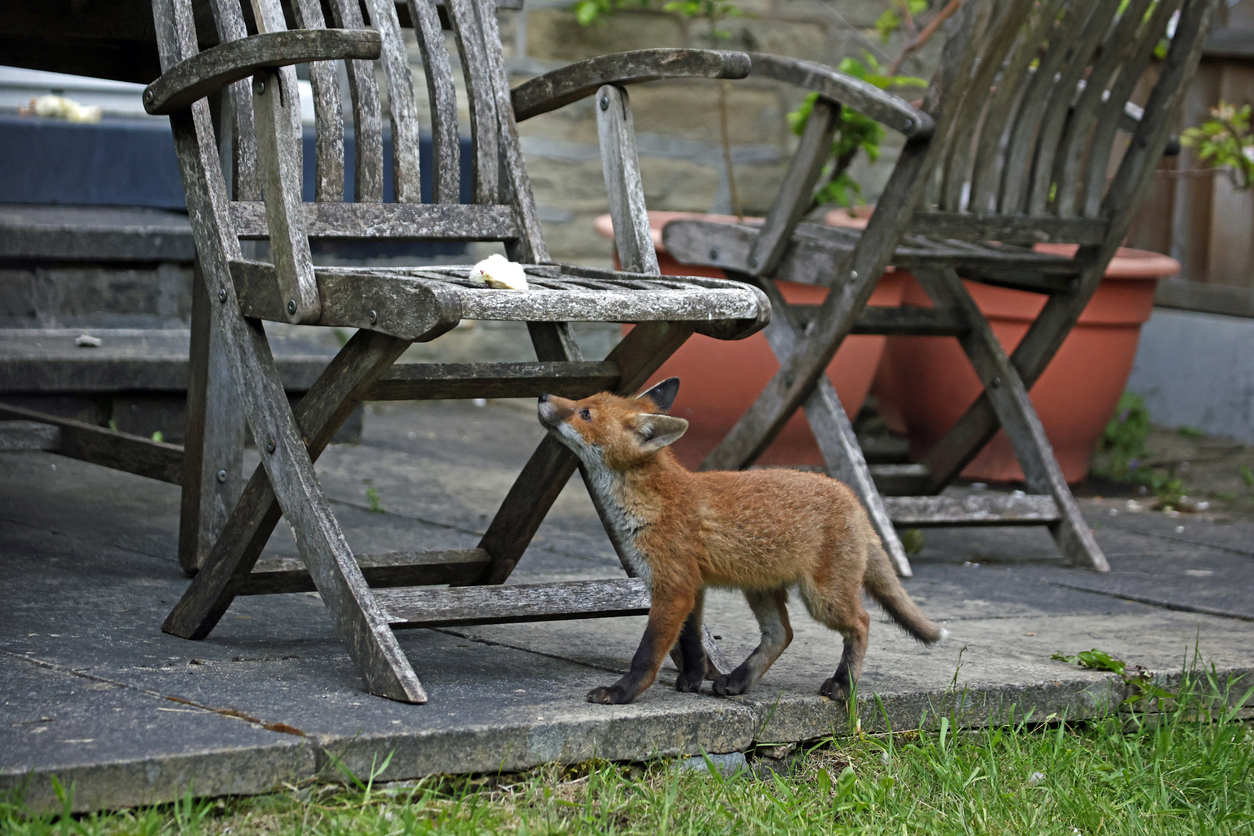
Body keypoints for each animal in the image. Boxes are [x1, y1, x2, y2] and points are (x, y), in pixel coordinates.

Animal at [538, 378, 946, 705]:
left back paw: (843, 683)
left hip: (823, 598)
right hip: (760, 587)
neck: (653, 499)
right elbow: (691, 640)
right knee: (782, 634)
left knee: (861, 623)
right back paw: (739, 680)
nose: (542, 394)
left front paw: (622, 692)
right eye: (583, 401)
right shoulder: (691, 584)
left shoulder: (673, 586)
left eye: (585, 413)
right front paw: (692, 678)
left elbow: (648, 653)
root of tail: (854, 498)